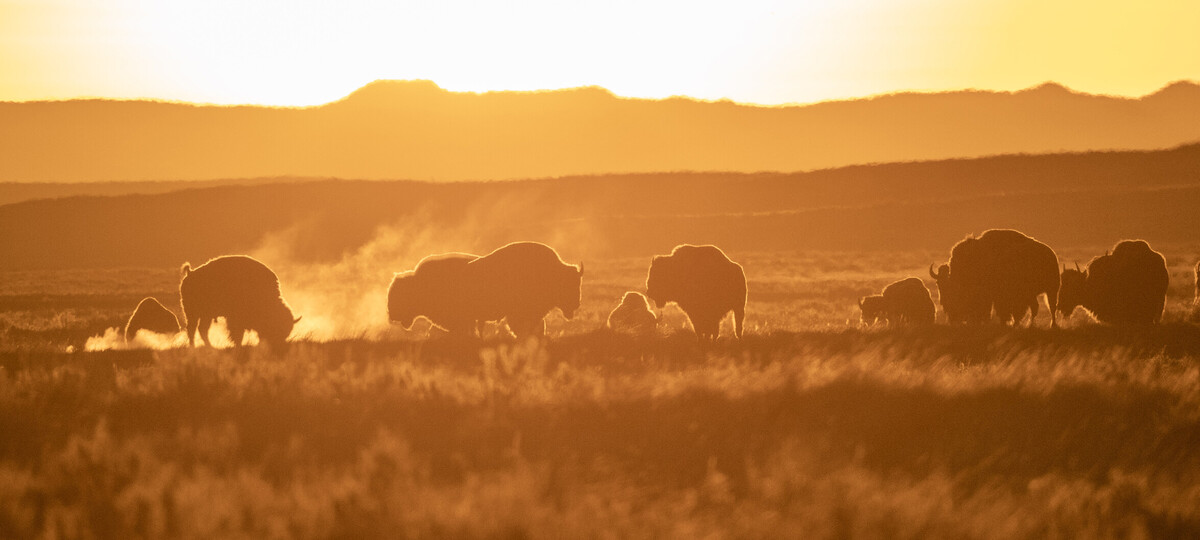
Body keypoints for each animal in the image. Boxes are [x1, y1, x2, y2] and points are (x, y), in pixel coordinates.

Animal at [930, 229, 1060, 327]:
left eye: (953, 288)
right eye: (938, 284)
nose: (945, 304)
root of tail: (1052, 254)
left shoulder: (996, 296)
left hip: (1052, 290)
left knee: (1051, 307)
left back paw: (1051, 325)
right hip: (1033, 294)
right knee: (1035, 307)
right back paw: (1029, 324)